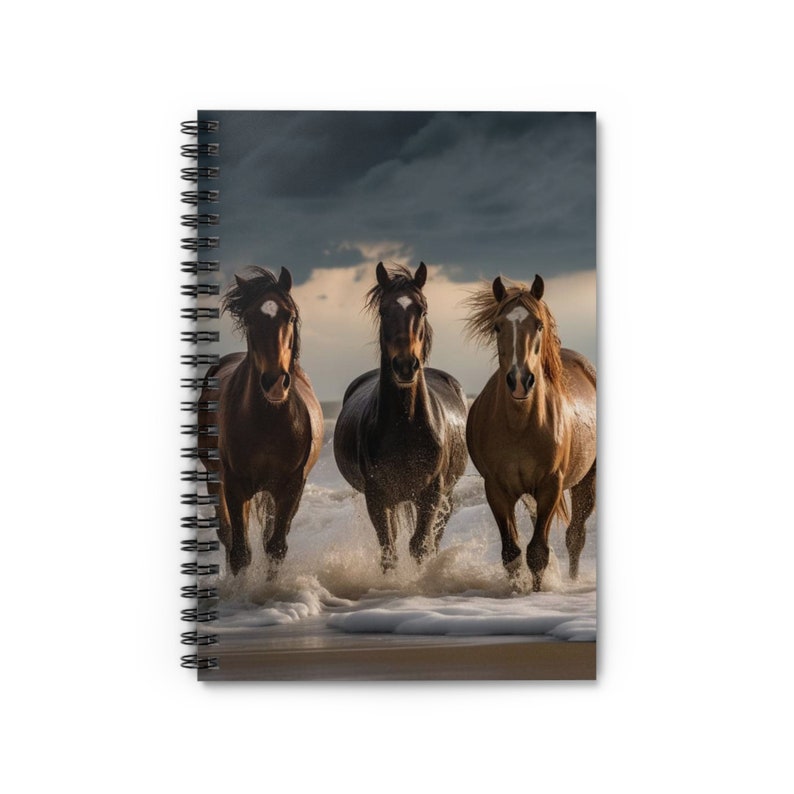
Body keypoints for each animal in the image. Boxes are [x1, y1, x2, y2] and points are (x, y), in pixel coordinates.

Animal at [198, 266, 323, 578]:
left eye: (289, 316)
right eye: (250, 318)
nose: (275, 382)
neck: (267, 421)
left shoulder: (291, 487)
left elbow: (275, 546)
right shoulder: (233, 484)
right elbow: (240, 551)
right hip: (216, 479)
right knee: (228, 537)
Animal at [333, 262, 468, 572]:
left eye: (423, 310)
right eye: (384, 311)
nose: (405, 365)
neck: (405, 425)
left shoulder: (431, 494)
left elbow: (419, 546)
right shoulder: (377, 496)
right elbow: (389, 551)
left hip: (447, 496)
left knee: (434, 539)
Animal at [464, 274, 596, 591]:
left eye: (538, 324)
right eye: (497, 325)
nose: (520, 381)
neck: (520, 424)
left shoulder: (551, 486)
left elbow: (538, 552)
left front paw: (535, 592)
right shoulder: (496, 489)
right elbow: (511, 553)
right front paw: (517, 591)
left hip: (588, 480)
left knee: (576, 535)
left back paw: (573, 579)